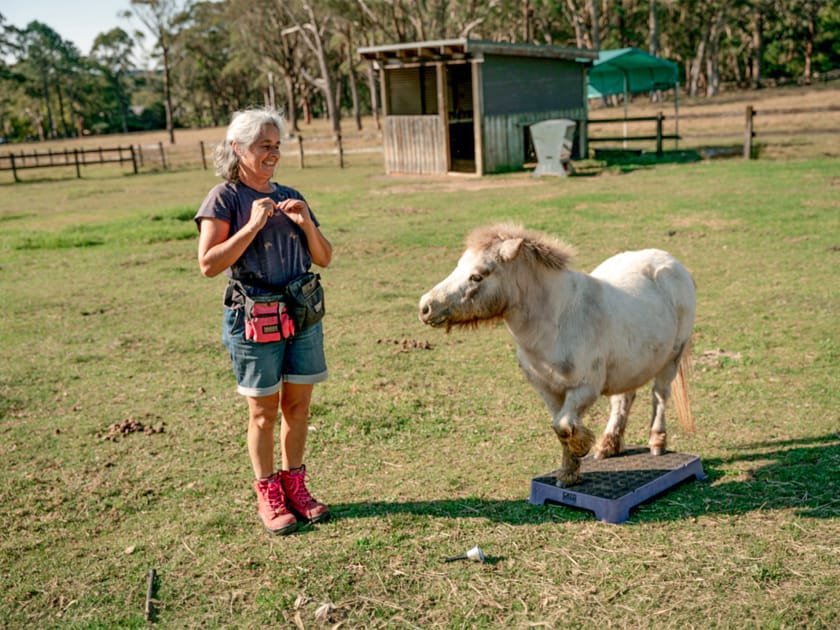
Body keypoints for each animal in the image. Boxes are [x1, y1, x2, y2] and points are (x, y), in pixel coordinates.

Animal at [418, 223, 696, 487]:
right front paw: (569, 471)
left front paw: (580, 449)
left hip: (671, 359)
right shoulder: (548, 391)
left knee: (659, 396)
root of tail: (670, 261)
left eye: (477, 276)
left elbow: (564, 426)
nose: (425, 307)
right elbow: (560, 429)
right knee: (623, 400)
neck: (558, 320)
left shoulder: (584, 389)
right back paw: (607, 446)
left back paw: (656, 443)